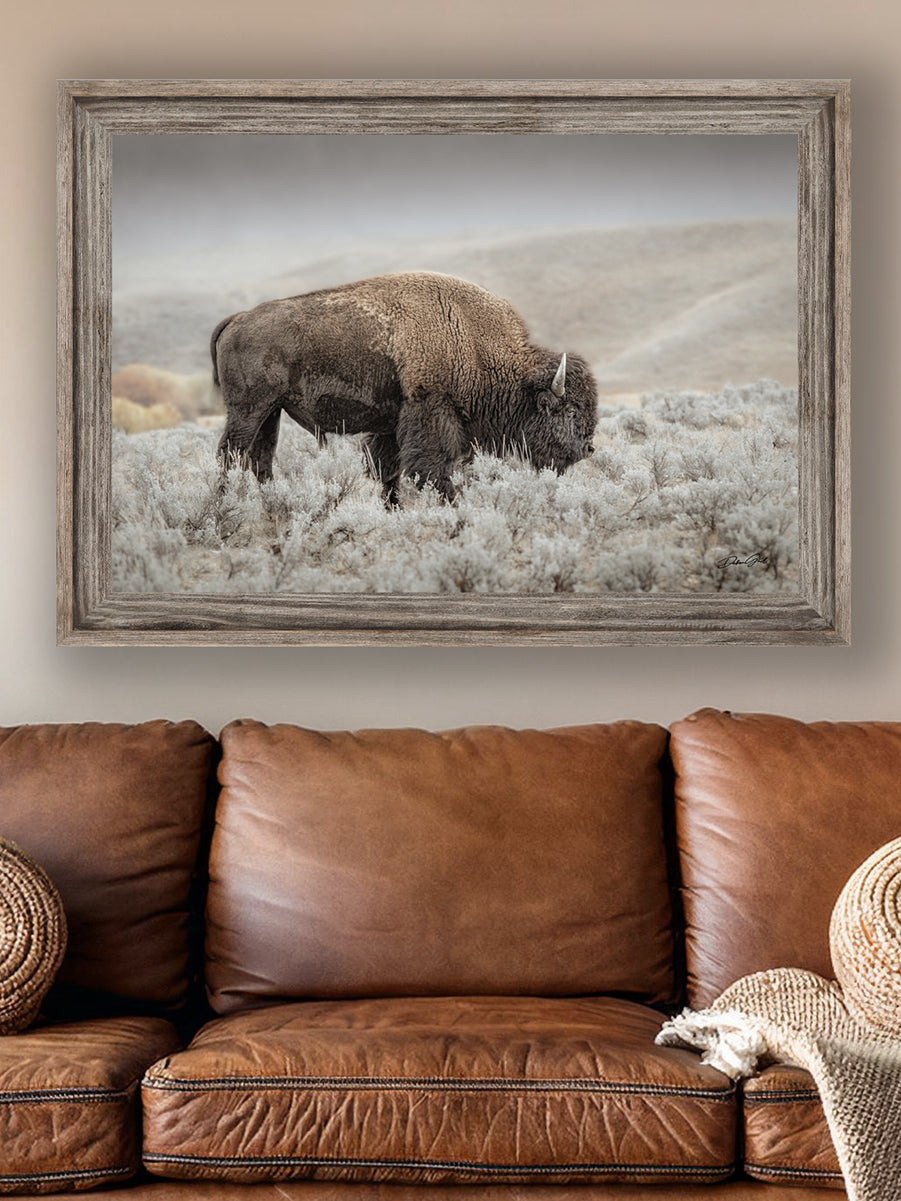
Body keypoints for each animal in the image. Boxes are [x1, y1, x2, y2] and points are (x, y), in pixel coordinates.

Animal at [211, 271, 598, 504]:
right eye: (569, 409)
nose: (588, 448)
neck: (475, 342)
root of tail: (238, 318)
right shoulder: (432, 412)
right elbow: (431, 468)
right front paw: (448, 505)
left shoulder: (391, 426)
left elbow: (387, 470)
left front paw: (391, 507)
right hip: (248, 410)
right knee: (230, 453)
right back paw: (224, 501)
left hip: (271, 412)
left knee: (260, 458)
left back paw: (268, 501)